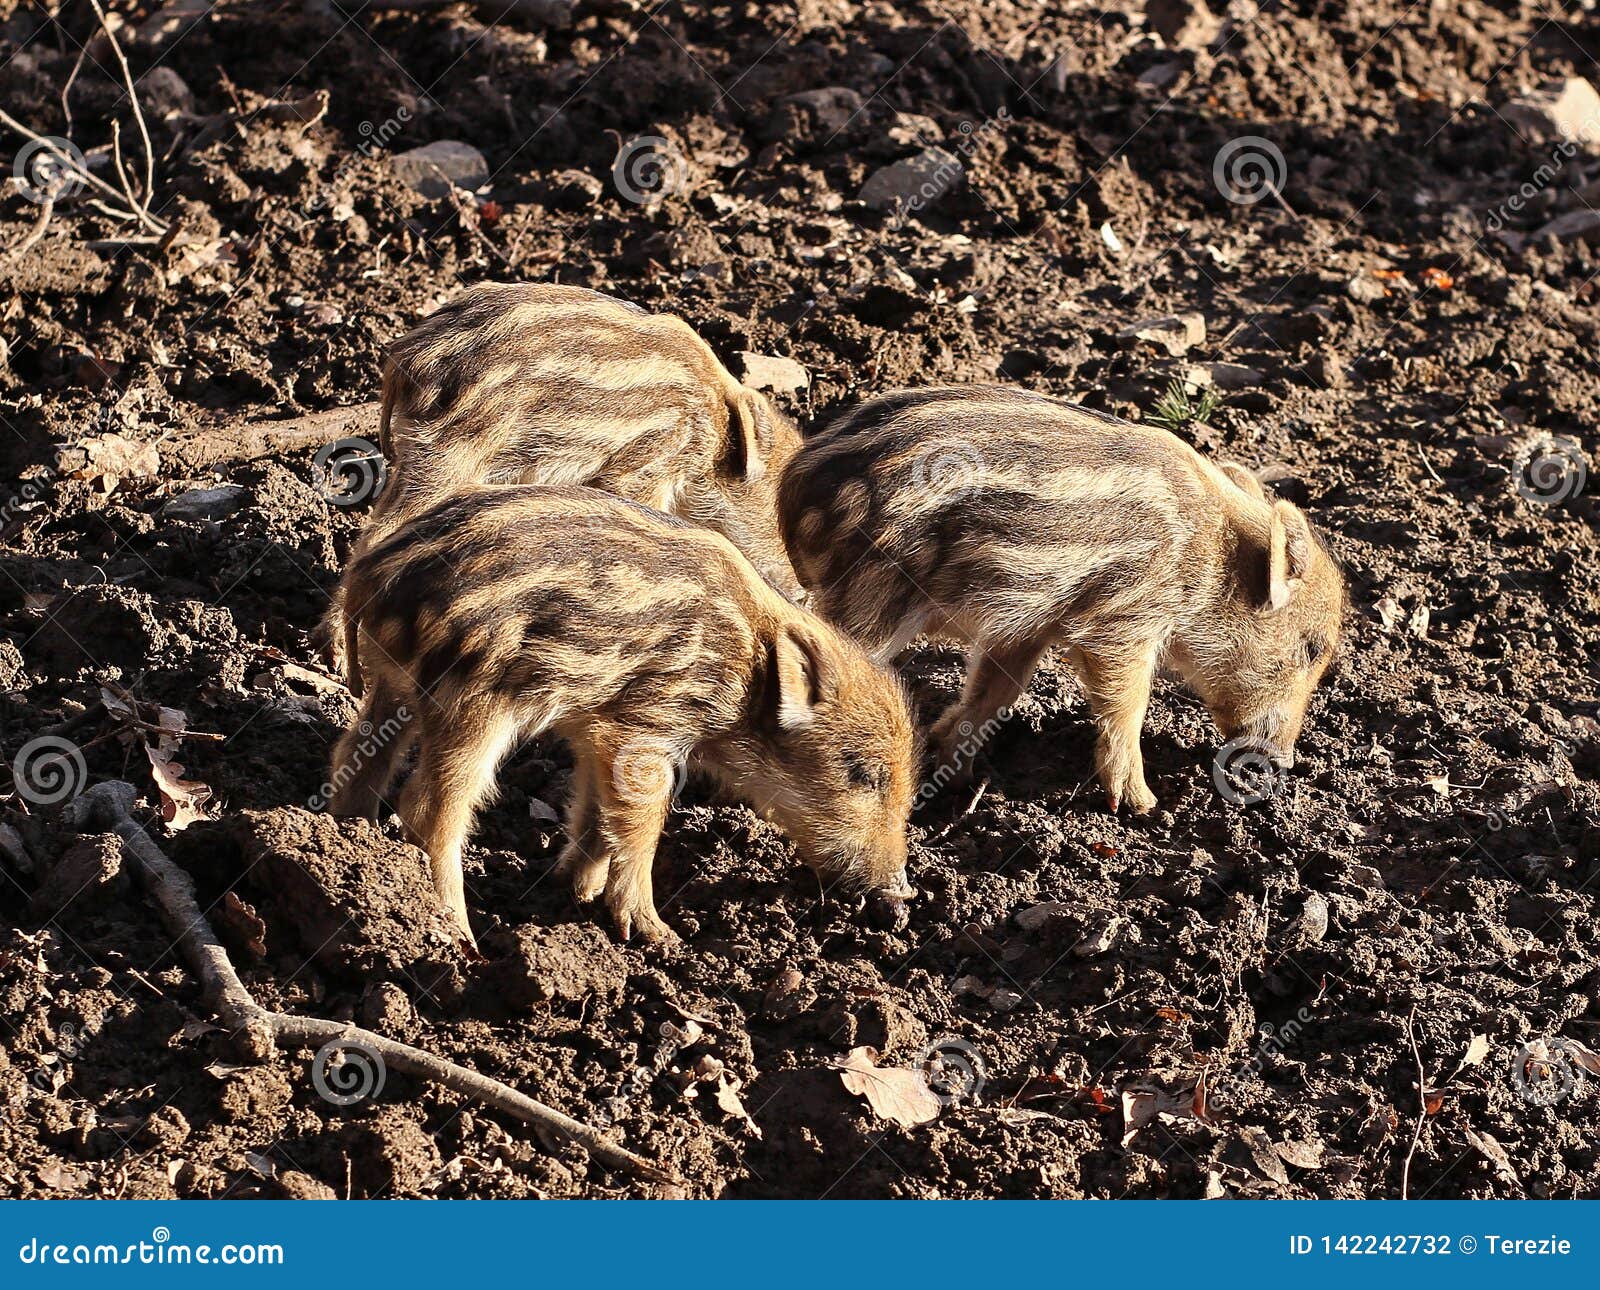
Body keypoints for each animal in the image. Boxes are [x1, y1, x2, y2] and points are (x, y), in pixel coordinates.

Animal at [322, 281, 804, 670]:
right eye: (777, 516)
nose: (803, 595)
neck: (710, 432)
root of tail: (407, 357)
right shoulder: (648, 464)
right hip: (448, 453)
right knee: (376, 534)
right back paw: (338, 660)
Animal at [328, 484, 917, 947]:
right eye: (862, 774)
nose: (903, 888)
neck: (746, 672)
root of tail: (373, 576)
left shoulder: (597, 727)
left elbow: (593, 810)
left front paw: (576, 890)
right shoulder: (644, 729)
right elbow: (642, 824)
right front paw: (658, 934)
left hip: (394, 688)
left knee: (356, 760)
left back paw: (350, 839)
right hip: (473, 705)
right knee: (428, 809)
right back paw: (460, 938)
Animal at [778, 385, 1346, 813]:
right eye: (1310, 649)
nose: (1281, 764)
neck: (1212, 560)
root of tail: (795, 490)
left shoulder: (1024, 628)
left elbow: (996, 692)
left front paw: (953, 769)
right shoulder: (1120, 621)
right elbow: (1128, 705)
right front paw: (1142, 804)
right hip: (871, 601)